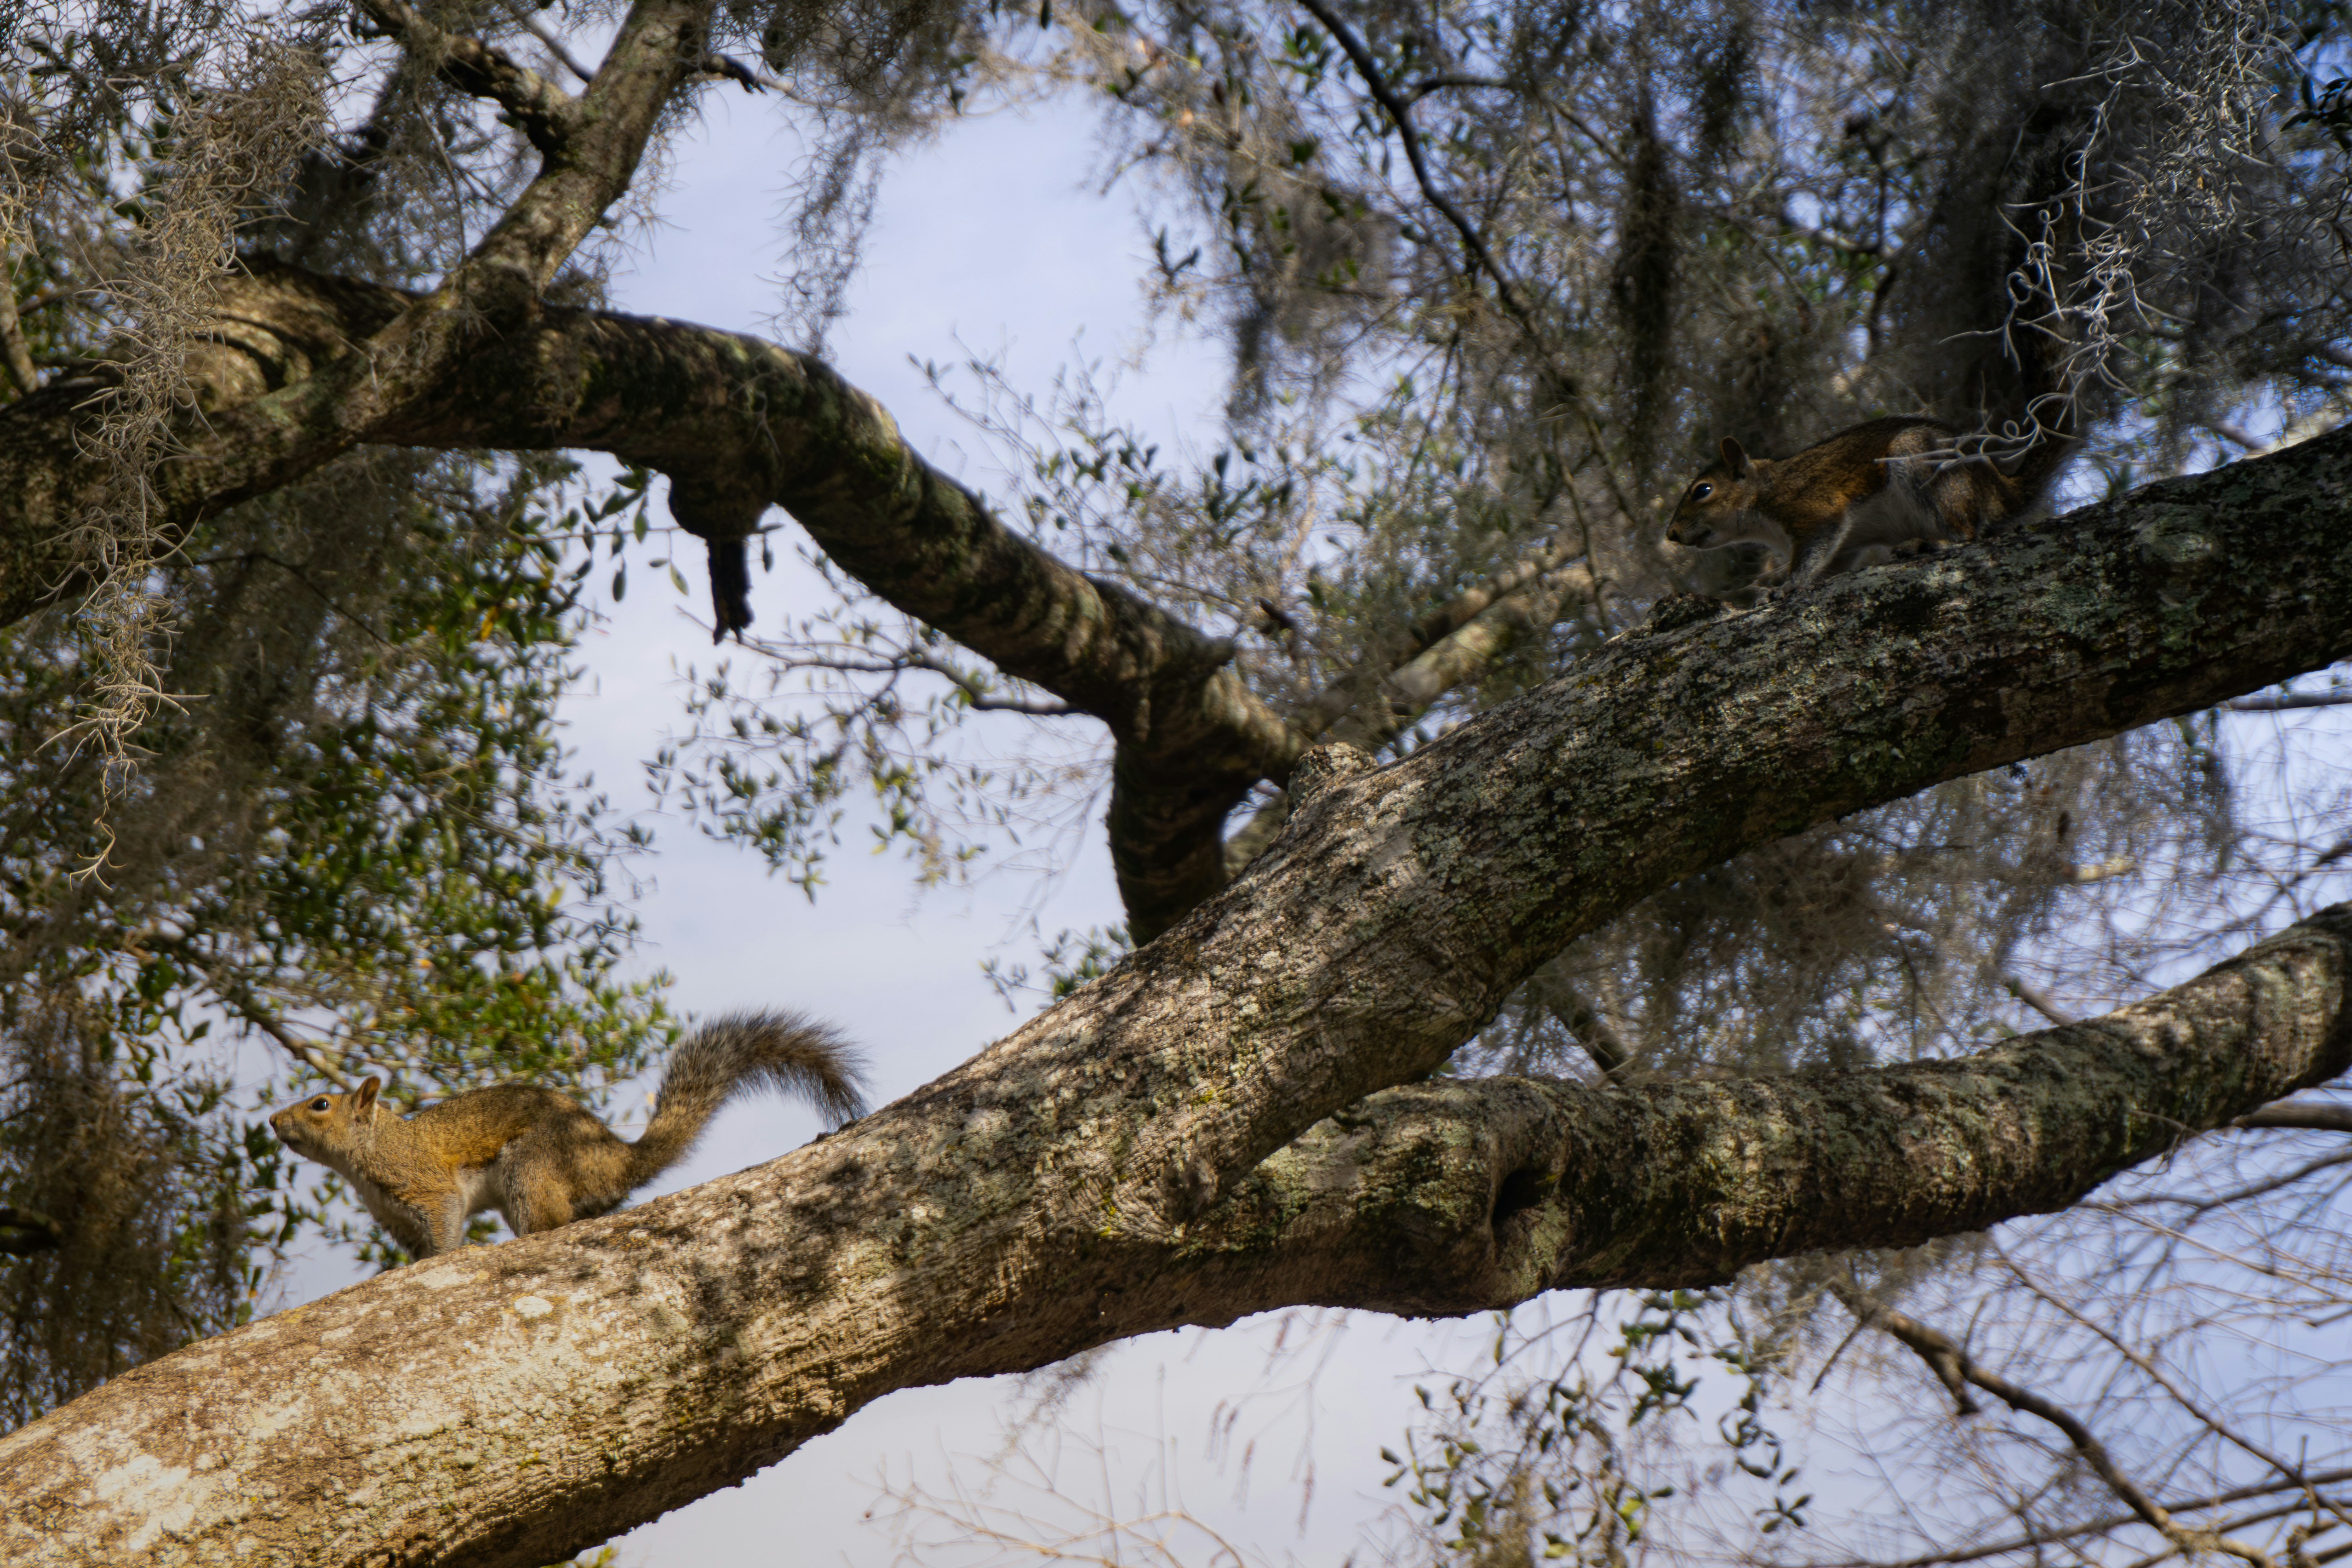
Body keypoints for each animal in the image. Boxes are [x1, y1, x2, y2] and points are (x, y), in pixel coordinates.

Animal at [268, 1011, 868, 1259]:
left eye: (320, 1104)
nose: (273, 1122)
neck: (369, 1150)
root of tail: (617, 1158)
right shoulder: (394, 1218)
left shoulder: (425, 1185)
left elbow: (444, 1221)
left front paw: (447, 1256)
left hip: (533, 1168)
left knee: (552, 1222)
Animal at [1664, 413, 2076, 596]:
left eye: (1702, 490)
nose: (1670, 534)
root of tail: (1996, 488)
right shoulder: (1845, 546)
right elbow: (1830, 562)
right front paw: (1783, 578)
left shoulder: (1813, 509)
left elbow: (1813, 549)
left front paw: (1790, 584)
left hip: (1923, 464)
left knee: (1968, 532)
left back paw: (1928, 543)